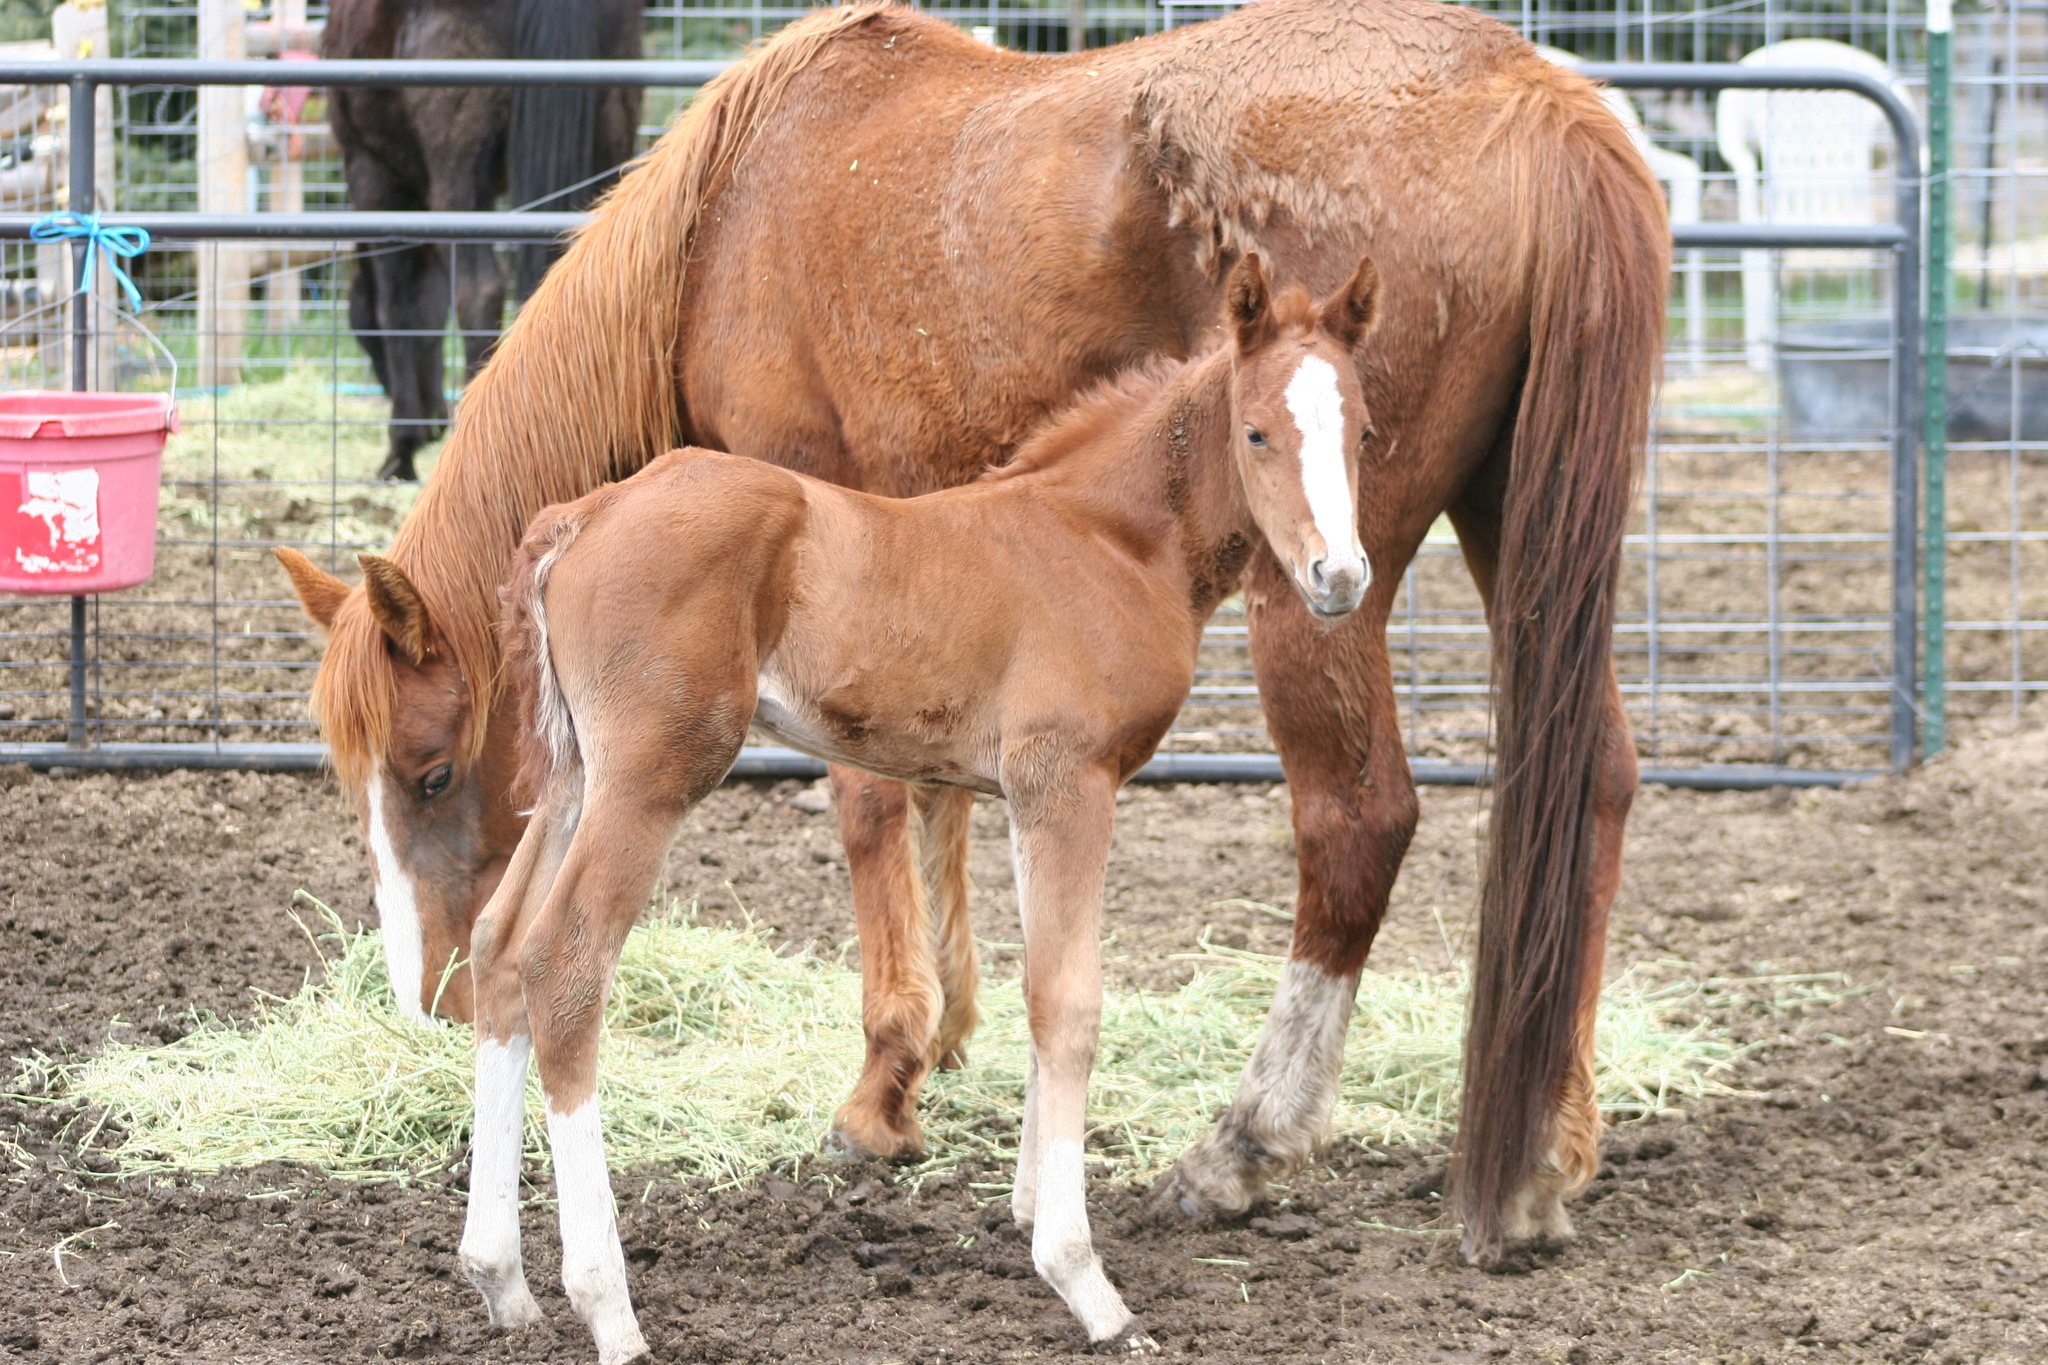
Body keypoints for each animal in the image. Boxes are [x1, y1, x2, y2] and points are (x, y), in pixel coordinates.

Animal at [323, 0, 644, 481]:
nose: (431, 421)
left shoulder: (374, 173)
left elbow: (395, 304)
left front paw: (403, 445)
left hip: (456, 166)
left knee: (480, 292)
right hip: (610, 135)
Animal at [459, 254, 1379, 1360]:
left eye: (1365, 432)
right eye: (1256, 432)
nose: (1339, 576)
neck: (1107, 539)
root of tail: (580, 518)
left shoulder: (1026, 795)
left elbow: (1038, 988)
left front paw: (1029, 1206)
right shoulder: (1065, 780)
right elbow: (1069, 999)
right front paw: (1082, 1278)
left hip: (571, 780)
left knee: (498, 948)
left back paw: (500, 1277)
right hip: (649, 776)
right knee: (565, 964)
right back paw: (606, 1305)